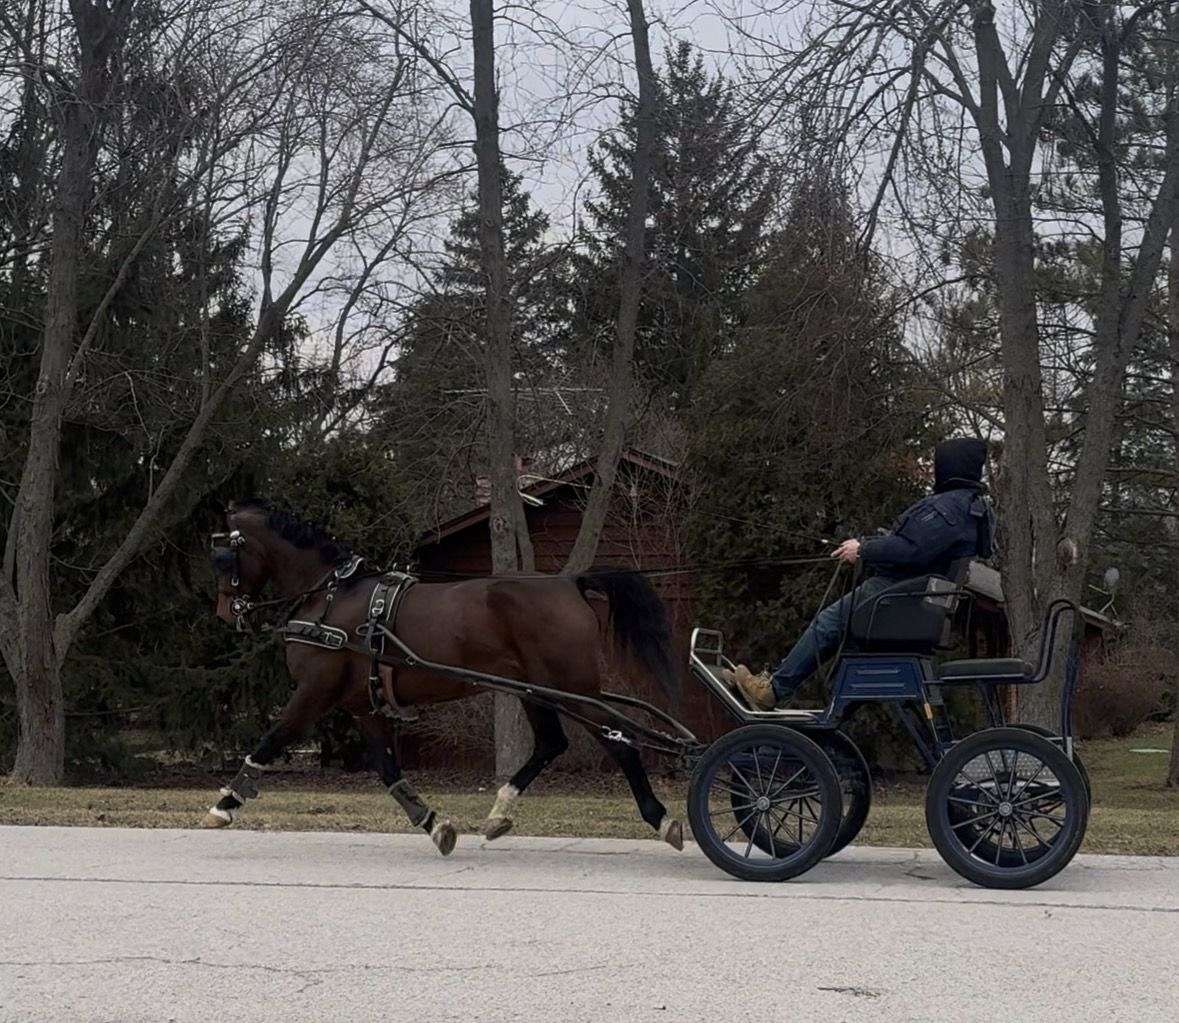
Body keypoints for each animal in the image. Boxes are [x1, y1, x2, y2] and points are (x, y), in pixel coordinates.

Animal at [203, 498, 685, 855]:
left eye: (223, 554)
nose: (226, 612)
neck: (331, 595)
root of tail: (571, 583)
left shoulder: (315, 691)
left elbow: (270, 741)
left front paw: (224, 804)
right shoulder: (364, 705)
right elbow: (389, 770)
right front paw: (434, 824)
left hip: (570, 690)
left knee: (619, 741)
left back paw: (661, 818)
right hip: (536, 690)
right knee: (553, 743)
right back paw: (498, 814)